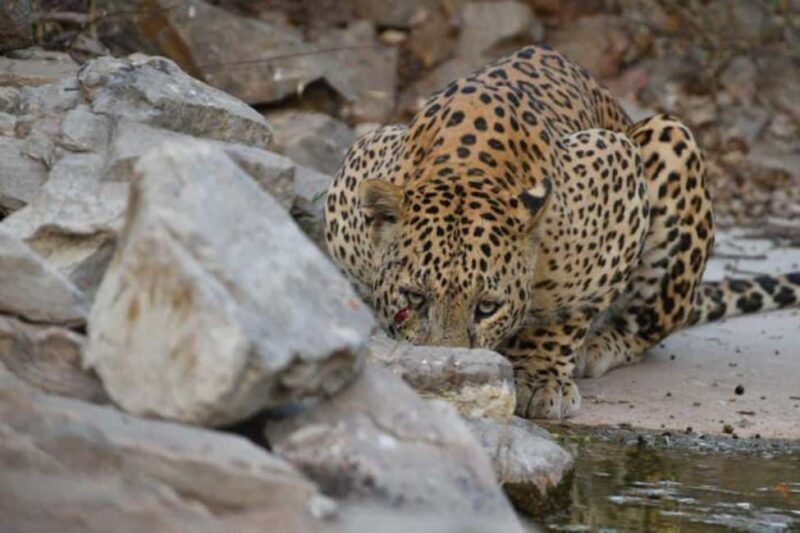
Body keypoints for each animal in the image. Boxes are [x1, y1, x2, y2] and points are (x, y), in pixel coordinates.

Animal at [323, 45, 800, 419]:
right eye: (415, 297)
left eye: (487, 307)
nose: (449, 364)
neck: (464, 167)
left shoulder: (618, 177)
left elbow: (565, 310)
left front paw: (538, 377)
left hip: (671, 139)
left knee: (649, 324)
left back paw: (598, 345)